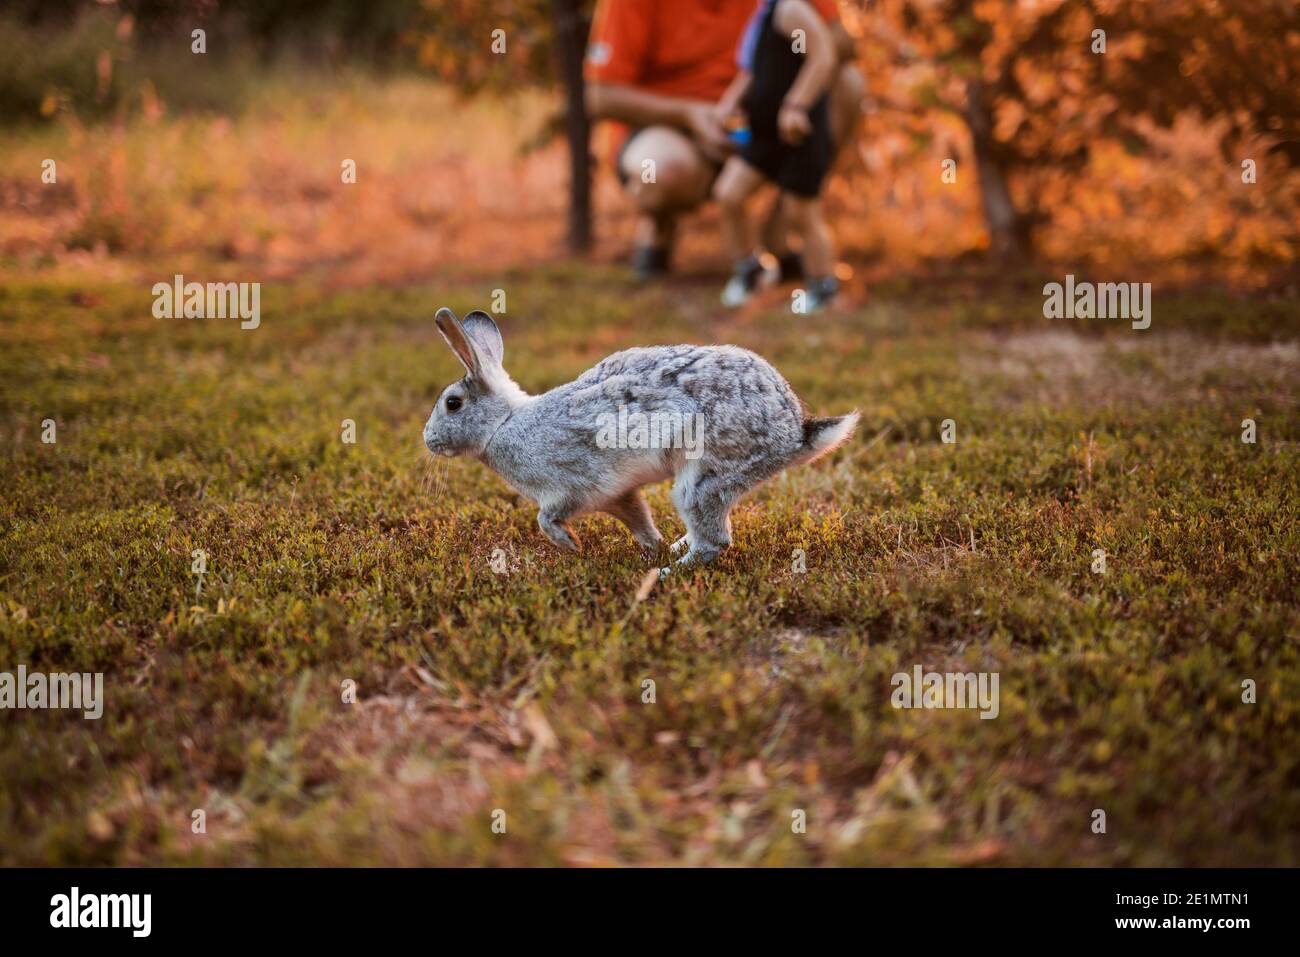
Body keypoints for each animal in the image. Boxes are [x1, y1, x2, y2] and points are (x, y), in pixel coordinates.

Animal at [423, 306, 858, 574]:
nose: (428, 440)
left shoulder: (572, 487)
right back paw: (672, 551)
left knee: (714, 541)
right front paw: (651, 545)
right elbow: (638, 518)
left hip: (703, 480)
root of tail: (795, 433)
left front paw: (571, 545)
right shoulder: (618, 495)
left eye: (452, 403)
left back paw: (666, 573)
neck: (504, 422)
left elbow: (546, 519)